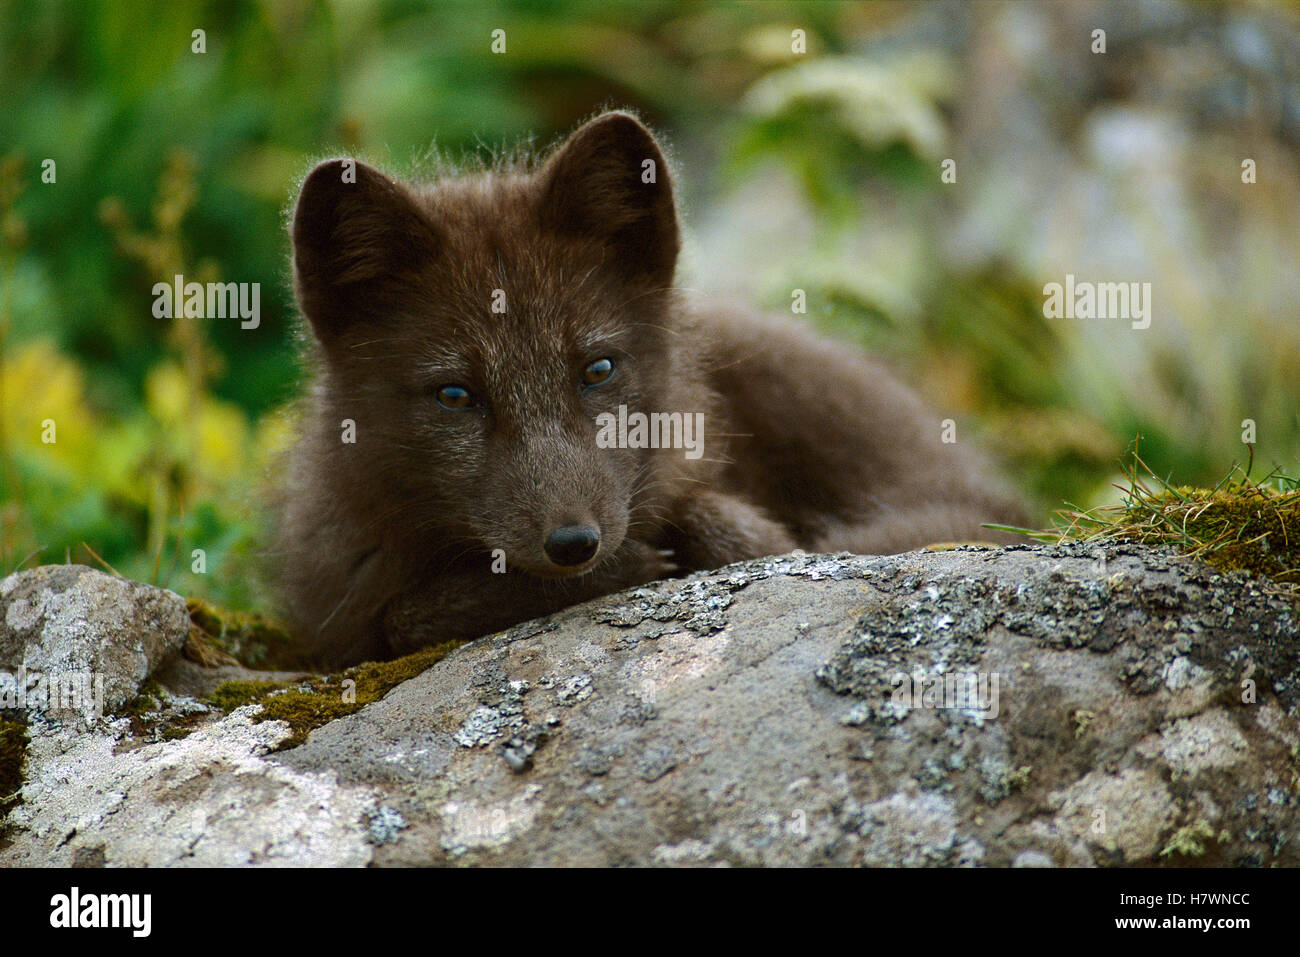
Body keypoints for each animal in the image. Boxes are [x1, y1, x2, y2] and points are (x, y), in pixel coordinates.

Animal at [277, 110, 1029, 667]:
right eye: (456, 395)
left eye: (598, 370)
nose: (573, 543)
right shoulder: (338, 609)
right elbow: (403, 617)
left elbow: (742, 532)